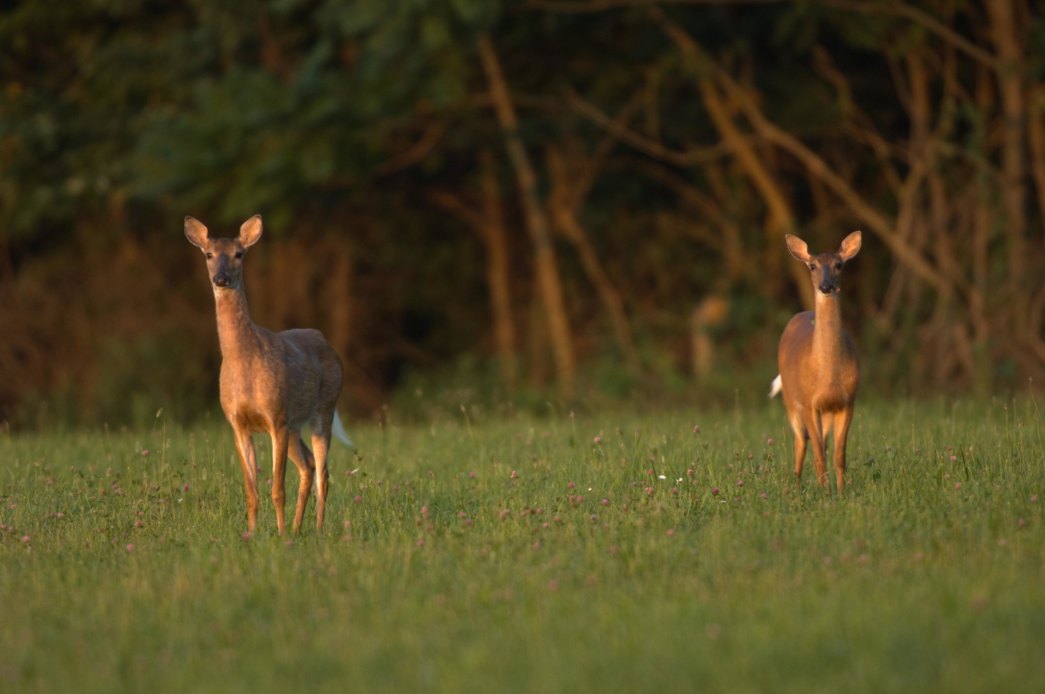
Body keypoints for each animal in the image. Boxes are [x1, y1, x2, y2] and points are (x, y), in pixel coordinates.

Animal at [185, 214, 353, 534]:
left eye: (239, 254)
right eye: (209, 254)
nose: (221, 278)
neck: (244, 364)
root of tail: (326, 342)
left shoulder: (276, 417)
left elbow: (277, 489)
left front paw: (280, 534)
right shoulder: (237, 423)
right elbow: (251, 491)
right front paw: (251, 534)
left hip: (324, 408)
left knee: (323, 473)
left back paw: (317, 529)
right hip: (295, 425)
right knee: (309, 465)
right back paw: (300, 528)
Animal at [770, 231, 862, 494]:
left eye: (839, 264)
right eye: (812, 265)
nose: (826, 286)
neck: (827, 374)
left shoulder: (847, 402)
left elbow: (839, 455)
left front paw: (840, 492)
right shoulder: (809, 403)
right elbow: (818, 454)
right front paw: (824, 493)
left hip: (825, 412)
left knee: (822, 444)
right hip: (791, 400)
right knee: (802, 442)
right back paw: (796, 486)